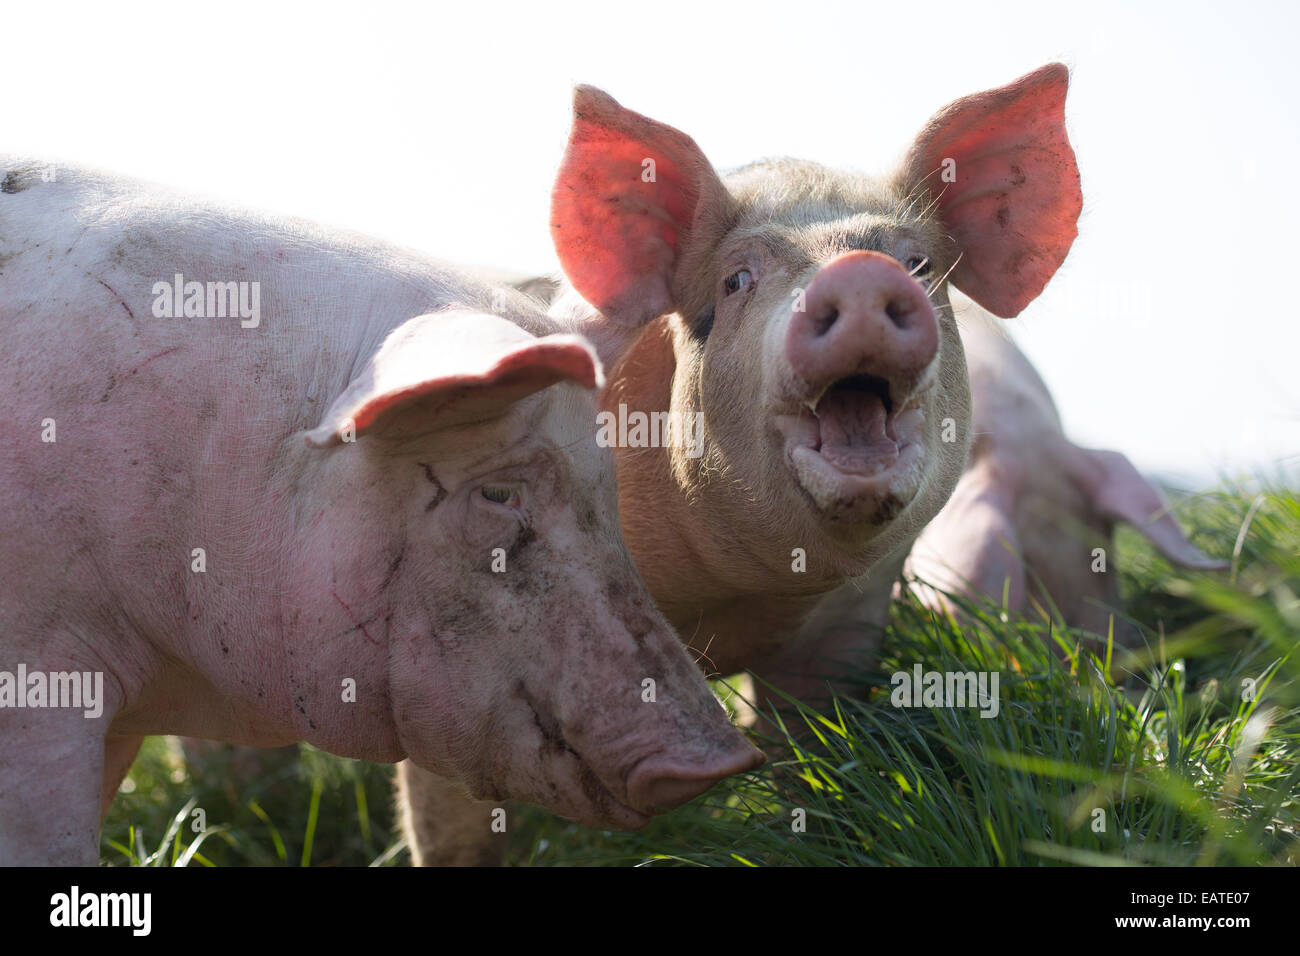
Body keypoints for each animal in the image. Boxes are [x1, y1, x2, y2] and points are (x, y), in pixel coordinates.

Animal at [400, 63, 1085, 864]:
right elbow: (455, 812)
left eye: (919, 265)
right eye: (736, 281)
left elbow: (812, 759)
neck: (739, 598)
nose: (859, 273)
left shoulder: (848, 627)